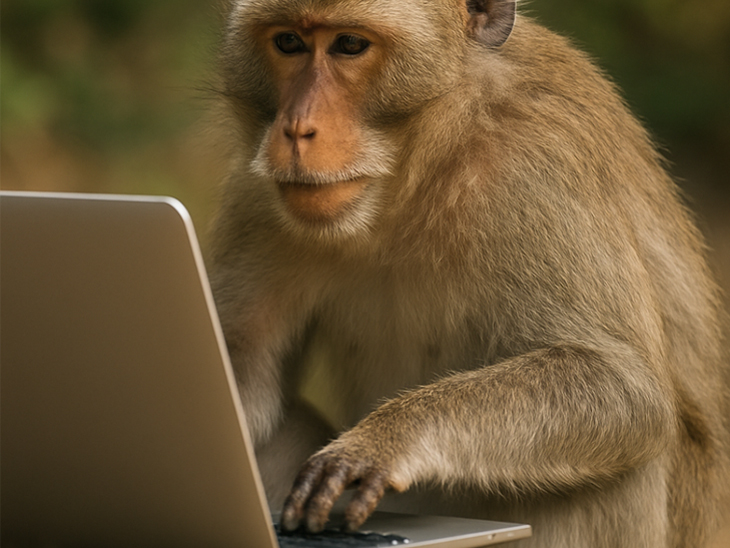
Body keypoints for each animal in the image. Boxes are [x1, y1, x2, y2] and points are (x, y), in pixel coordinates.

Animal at [208, 0, 730, 546]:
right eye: (288, 42)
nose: (296, 129)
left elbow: (623, 385)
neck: (412, 184)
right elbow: (246, 377)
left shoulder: (534, 166)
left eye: (349, 44)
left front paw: (384, 439)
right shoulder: (257, 188)